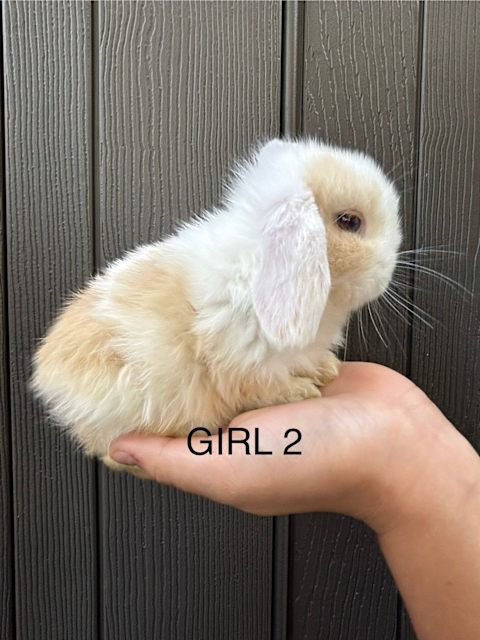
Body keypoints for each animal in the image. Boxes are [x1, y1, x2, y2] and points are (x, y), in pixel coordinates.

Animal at [32, 137, 401, 473]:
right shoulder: (240, 358)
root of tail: (46, 376)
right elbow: (258, 387)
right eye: (350, 222)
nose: (388, 270)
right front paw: (299, 392)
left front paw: (325, 368)